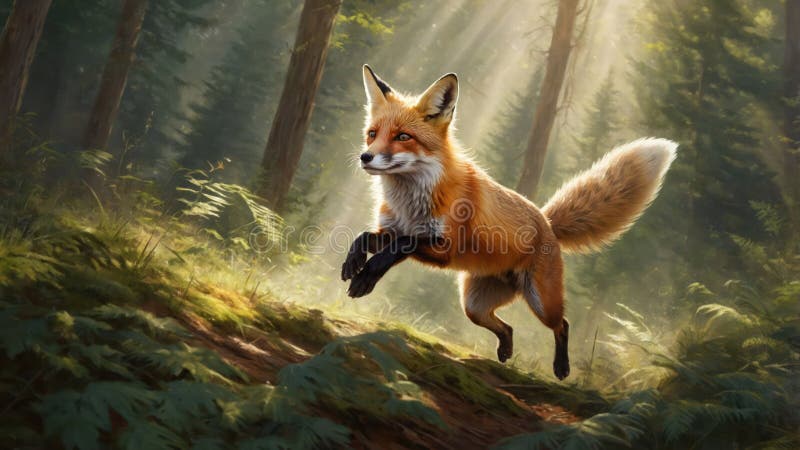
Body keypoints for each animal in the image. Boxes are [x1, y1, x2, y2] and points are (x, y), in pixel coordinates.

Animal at [341, 65, 677, 380]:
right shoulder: (393, 229)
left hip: (541, 303)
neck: (411, 201)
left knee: (563, 324)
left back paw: (561, 368)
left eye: (403, 137)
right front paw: (353, 263)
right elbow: (367, 237)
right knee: (508, 328)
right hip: (474, 306)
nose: (365, 157)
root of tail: (547, 222)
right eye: (372, 133)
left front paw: (364, 277)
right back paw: (505, 351)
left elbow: (400, 245)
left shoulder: (443, 246)